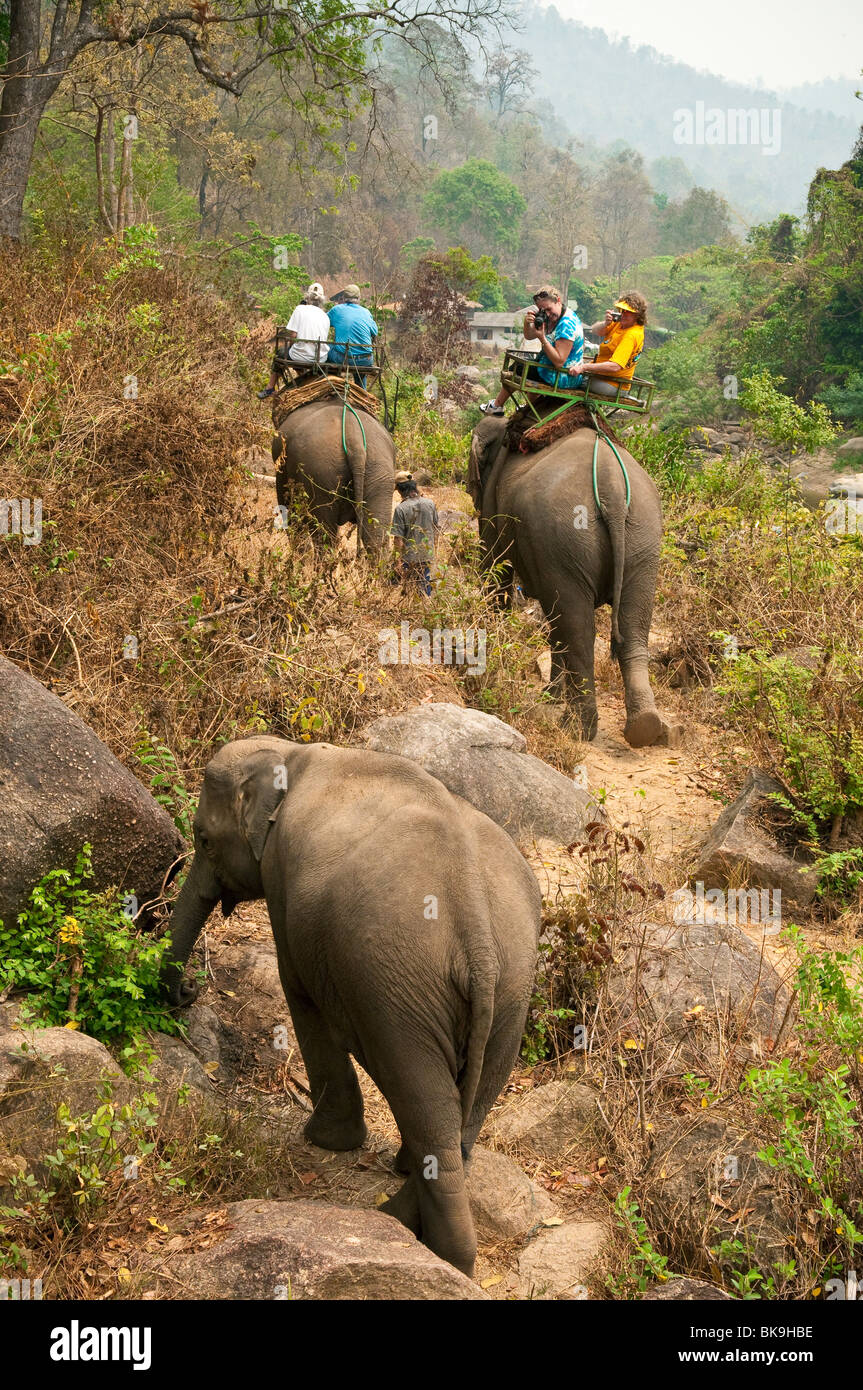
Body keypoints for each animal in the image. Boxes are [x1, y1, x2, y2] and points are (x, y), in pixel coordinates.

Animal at [161, 735, 541, 1277]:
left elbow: (298, 991)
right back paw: (409, 1201)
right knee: (462, 1116)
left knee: (426, 1104)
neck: (288, 753)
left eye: (203, 838)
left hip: (398, 986)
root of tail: (478, 932)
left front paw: (325, 1140)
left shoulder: (282, 876)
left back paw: (430, 1244)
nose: (188, 992)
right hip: (511, 994)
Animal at [469, 412, 682, 748]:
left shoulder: (494, 502)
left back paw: (576, 729)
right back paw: (643, 726)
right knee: (630, 627)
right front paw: (550, 696)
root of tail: (611, 488)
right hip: (644, 539)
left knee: (578, 629)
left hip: (563, 536)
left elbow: (496, 567)